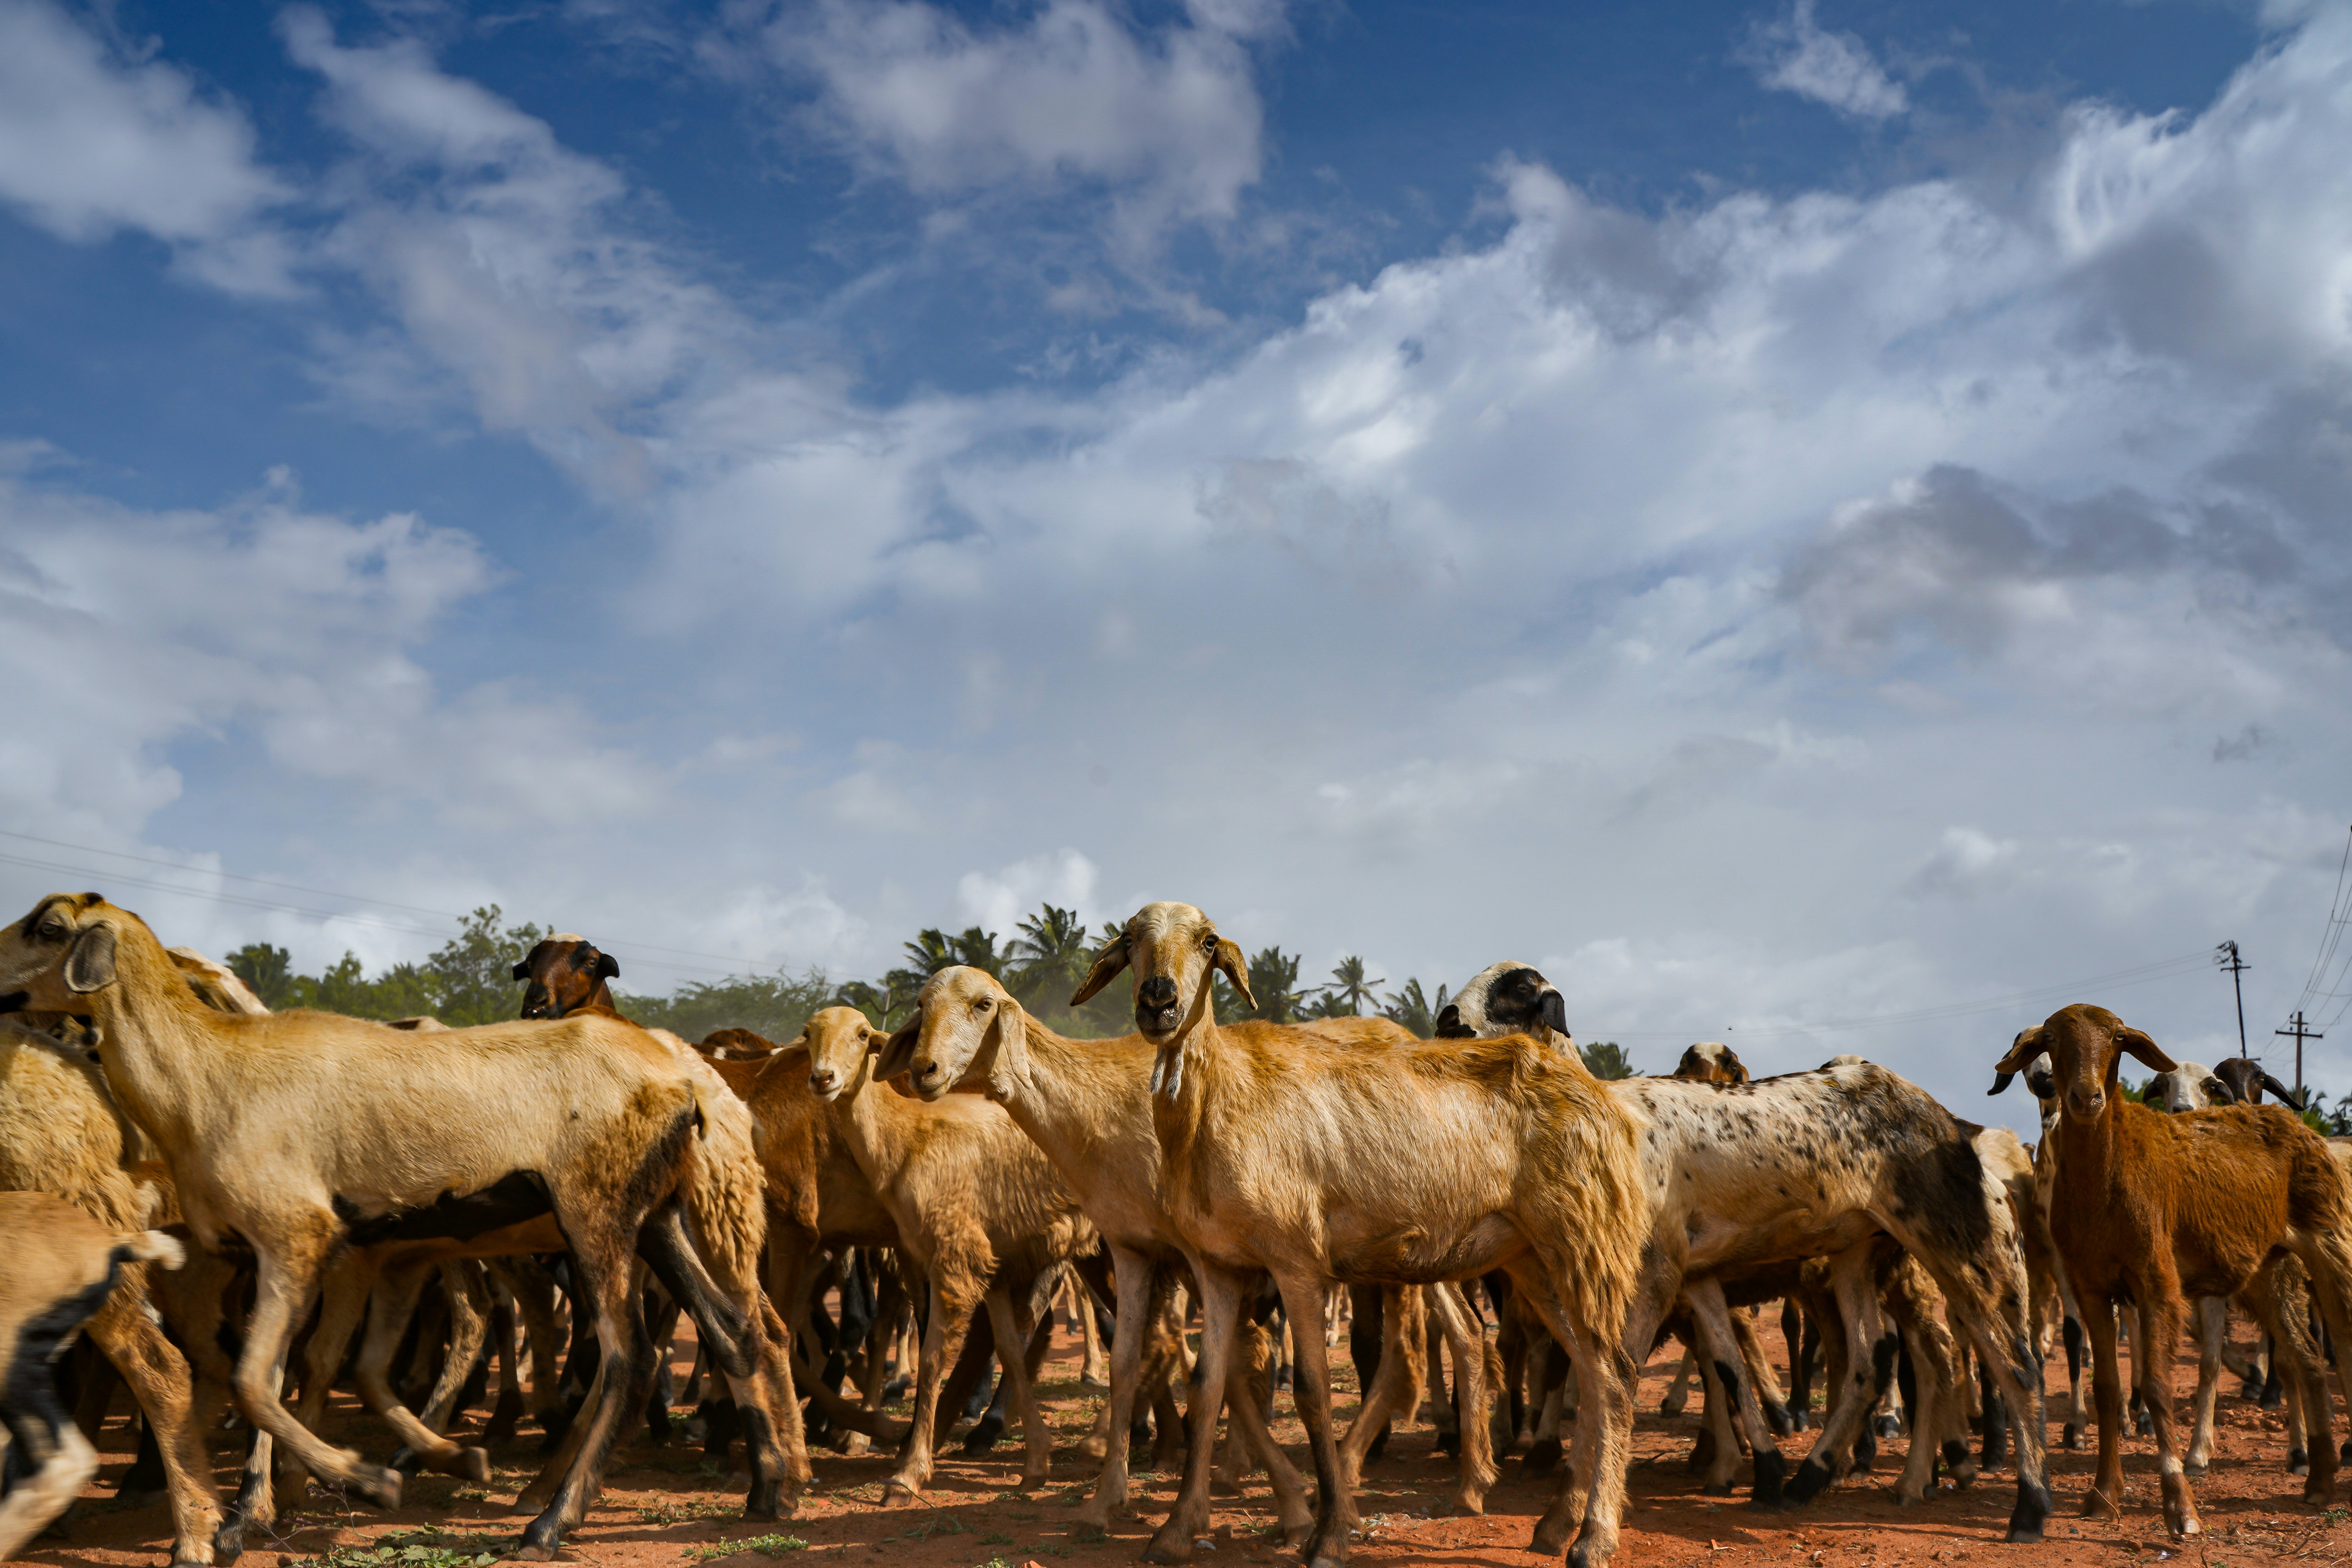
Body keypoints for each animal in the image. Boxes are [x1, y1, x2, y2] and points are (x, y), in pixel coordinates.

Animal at [1028, 905, 1649, 1568]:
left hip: (1584, 1242)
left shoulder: (1297, 1261)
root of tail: (1598, 1092)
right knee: (1595, 1372)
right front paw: (1175, 1530)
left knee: (1615, 1378)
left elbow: (1311, 1391)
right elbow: (1207, 1387)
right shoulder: (1217, 1265)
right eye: (1129, 939)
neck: (1218, 1100)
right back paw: (1558, 1524)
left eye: (1208, 943)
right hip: (1535, 1257)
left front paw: (1327, 1534)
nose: (1159, 1001)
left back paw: (1593, 1535)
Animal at [1443, 961, 2052, 1540]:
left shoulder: (1651, 1271)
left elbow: (1613, 1376)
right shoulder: (1696, 1277)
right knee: (1870, 1359)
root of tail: (1947, 1121)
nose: (1448, 1021)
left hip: (1959, 1241)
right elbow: (1727, 1367)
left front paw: (1574, 1514)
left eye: (1519, 989)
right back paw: (1815, 1477)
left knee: (2011, 1365)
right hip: (1858, 1252)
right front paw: (1765, 1472)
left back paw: (2024, 1505)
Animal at [1989, 1003, 2352, 1535]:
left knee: (2339, 1347)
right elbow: (2106, 1387)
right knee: (2306, 1361)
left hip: (2329, 1244)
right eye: (2051, 1039)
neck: (2110, 1173)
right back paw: (2320, 1480)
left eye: (2118, 1038)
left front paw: (2181, 1505)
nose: (2085, 1097)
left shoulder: (2157, 1282)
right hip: (2266, 1270)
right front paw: (2103, 1495)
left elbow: (2160, 1388)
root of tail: (2291, 1120)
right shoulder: (2091, 1287)